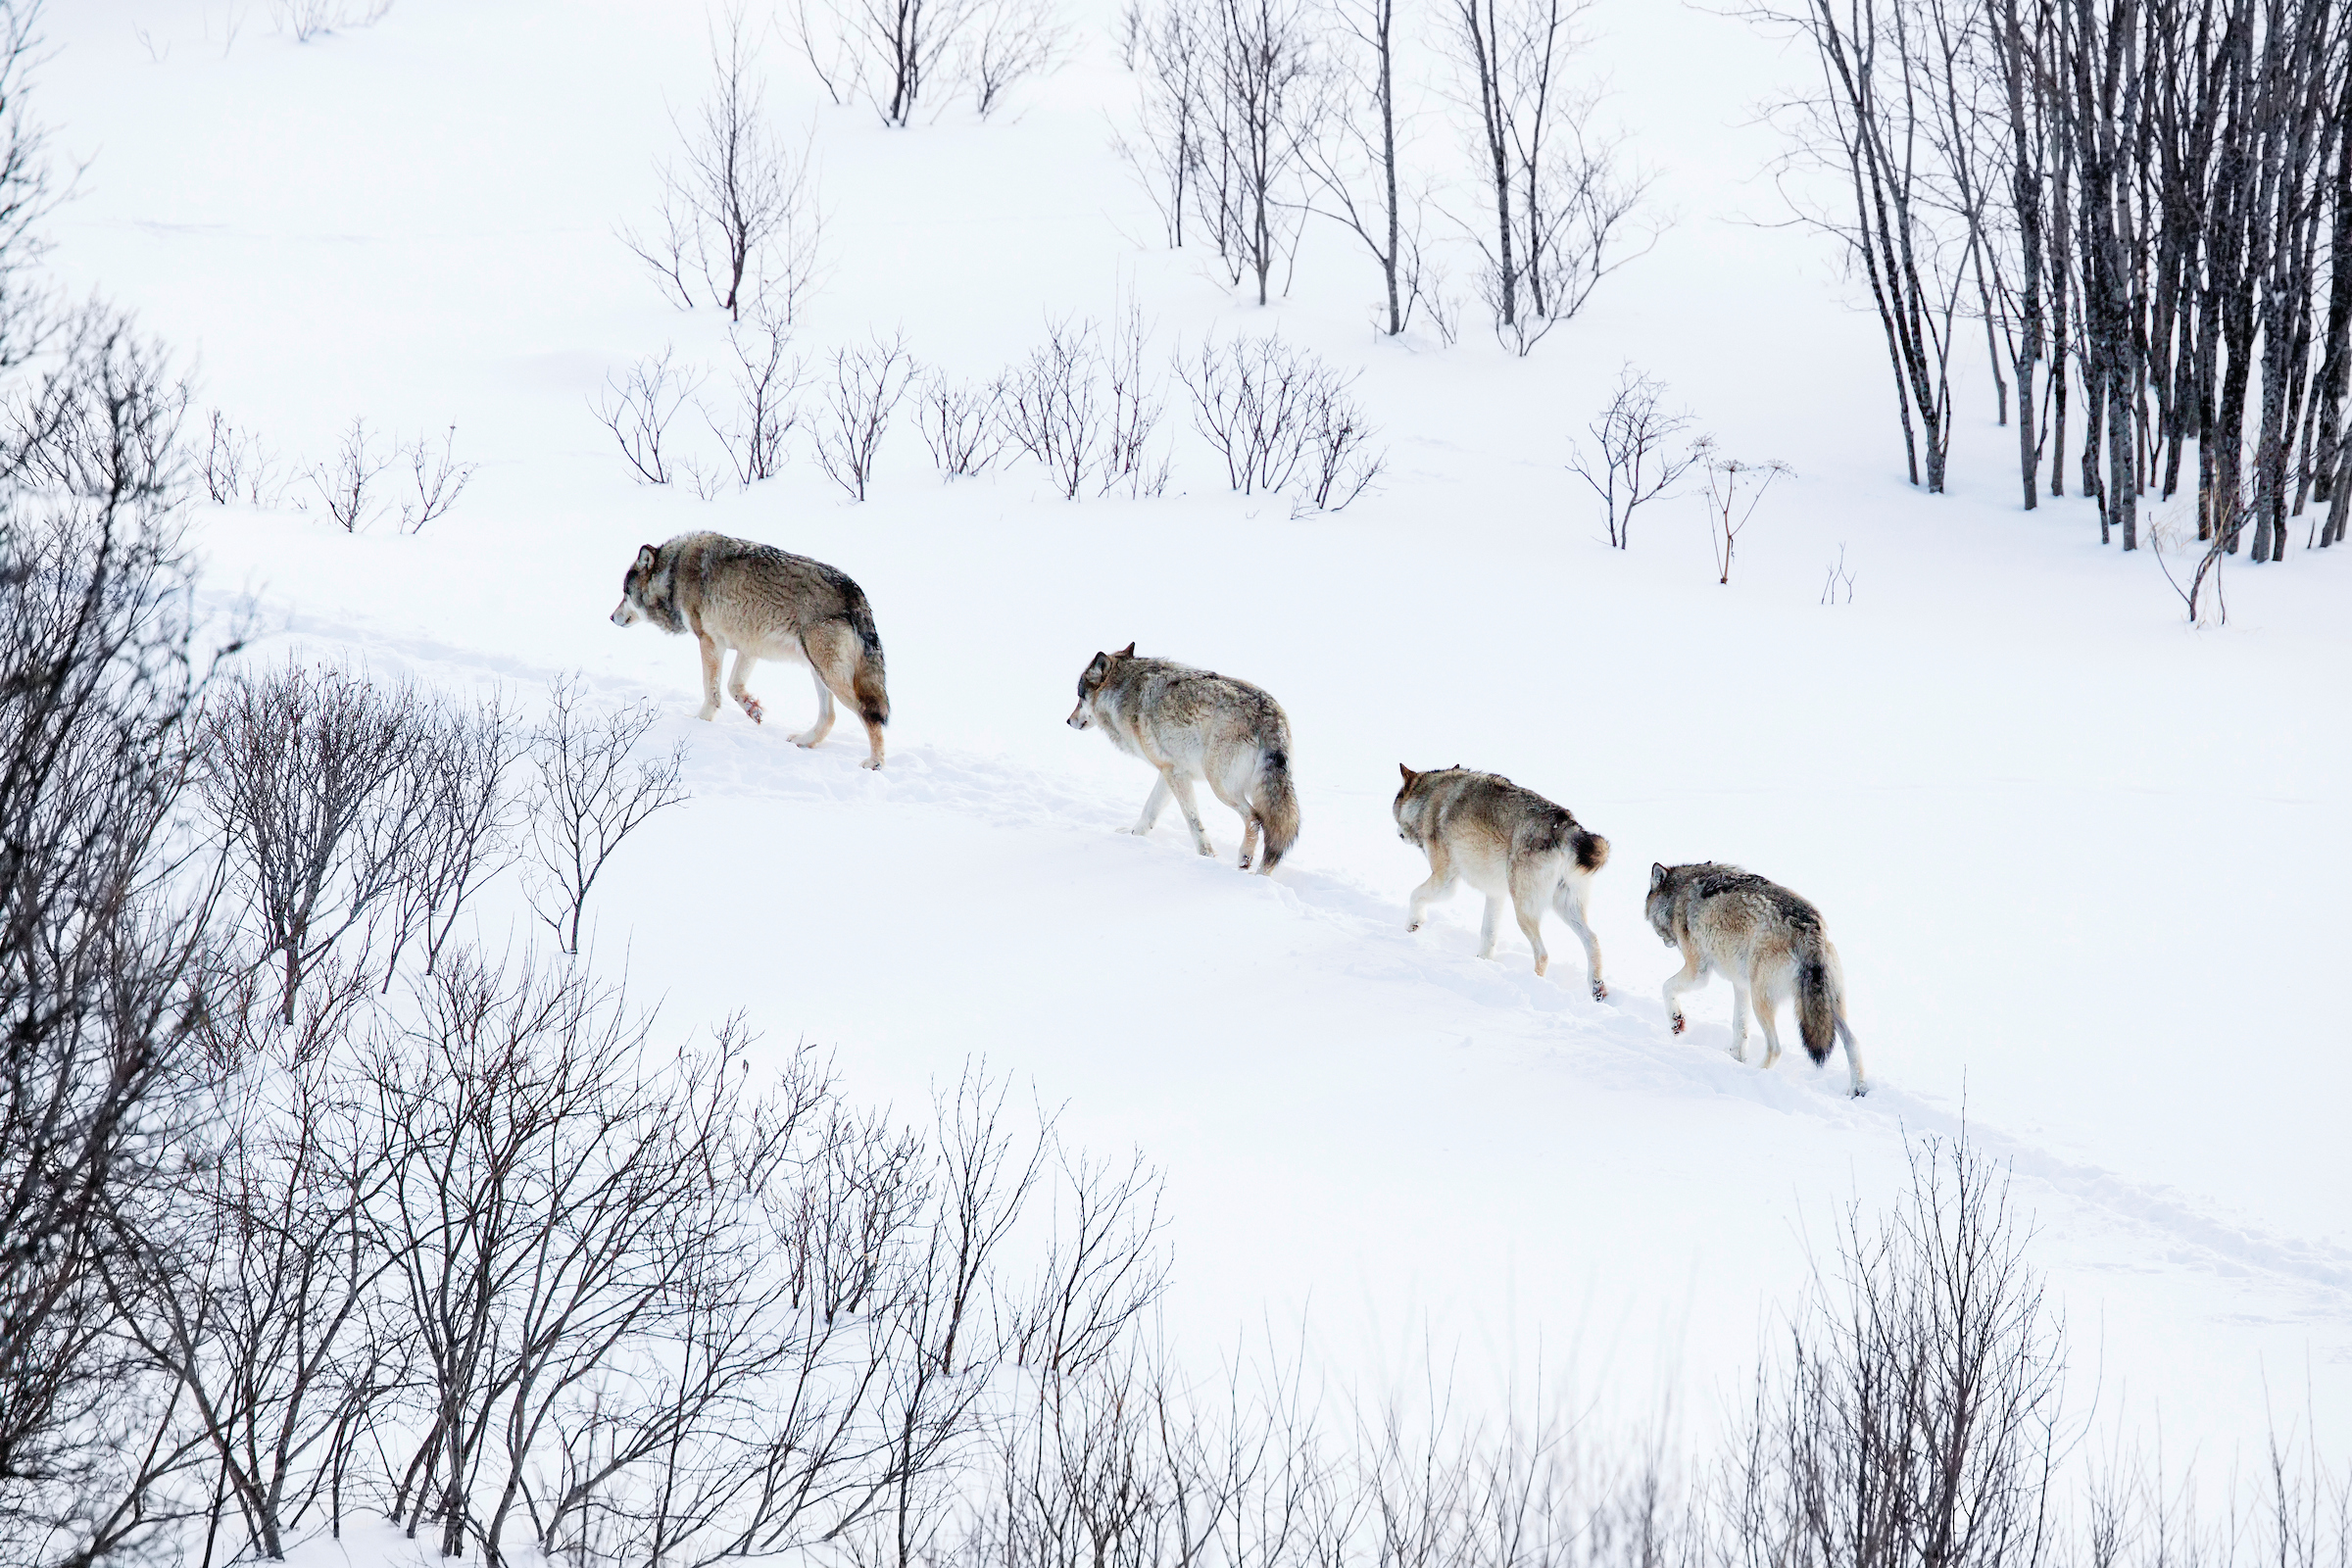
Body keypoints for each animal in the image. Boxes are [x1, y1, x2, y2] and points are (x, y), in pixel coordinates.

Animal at [610, 531, 890, 769]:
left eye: (625, 593)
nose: (611, 617)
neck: (673, 574)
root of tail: (855, 592)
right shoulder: (749, 647)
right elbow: (733, 687)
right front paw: (751, 709)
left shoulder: (710, 642)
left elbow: (711, 690)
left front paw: (699, 721)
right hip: (818, 672)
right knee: (829, 717)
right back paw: (803, 740)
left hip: (829, 675)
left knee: (868, 713)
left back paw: (875, 763)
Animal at [1066, 644, 1299, 873]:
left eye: (1079, 697)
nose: (1068, 721)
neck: (1123, 692)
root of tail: (1270, 715)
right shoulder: (1170, 771)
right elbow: (1149, 810)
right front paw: (1132, 835)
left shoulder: (1175, 774)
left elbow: (1192, 820)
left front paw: (1206, 856)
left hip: (1220, 787)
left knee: (1255, 818)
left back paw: (1245, 861)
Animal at [1392, 766, 1610, 999]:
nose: (1398, 834)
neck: (1427, 800)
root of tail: (1568, 826)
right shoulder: (1495, 893)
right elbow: (1488, 934)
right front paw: (1481, 963)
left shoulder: (1445, 881)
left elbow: (1414, 895)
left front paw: (1412, 926)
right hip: (1564, 907)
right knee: (1593, 940)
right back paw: (1597, 988)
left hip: (1524, 912)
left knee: (1543, 954)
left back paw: (1533, 985)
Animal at [1642, 862, 1867, 1096]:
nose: (1666, 942)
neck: (1679, 896)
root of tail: (1809, 929)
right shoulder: (1740, 985)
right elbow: (1739, 1027)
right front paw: (1735, 1057)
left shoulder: (1699, 972)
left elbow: (1666, 986)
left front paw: (1676, 1022)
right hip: (1826, 1007)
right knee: (1853, 1042)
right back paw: (1856, 1090)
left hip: (1762, 1001)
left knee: (1776, 1048)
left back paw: (1755, 1075)